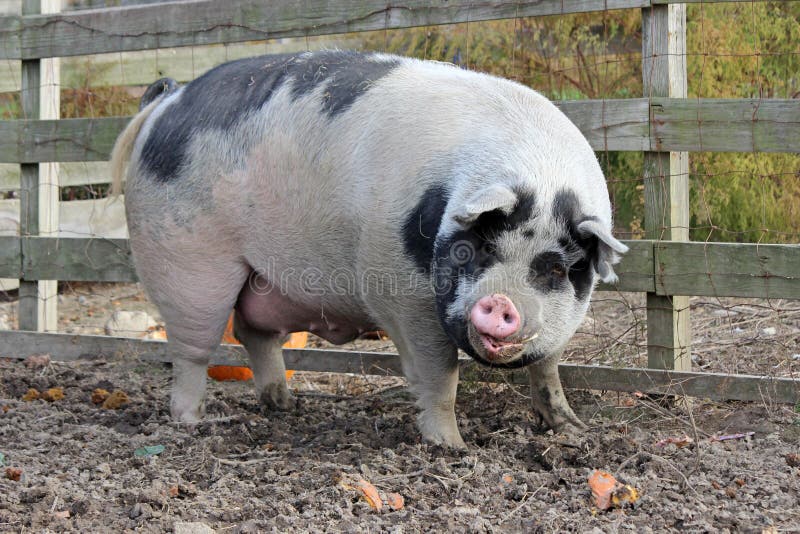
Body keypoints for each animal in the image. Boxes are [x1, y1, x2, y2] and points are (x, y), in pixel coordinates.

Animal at [110, 50, 627, 448]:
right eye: (476, 251)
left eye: (555, 268)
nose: (500, 303)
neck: (539, 172)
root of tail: (167, 100)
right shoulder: (404, 295)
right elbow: (440, 376)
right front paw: (452, 447)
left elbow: (549, 368)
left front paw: (572, 430)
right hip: (186, 262)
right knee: (193, 350)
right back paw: (194, 421)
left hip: (258, 278)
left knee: (253, 332)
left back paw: (284, 404)